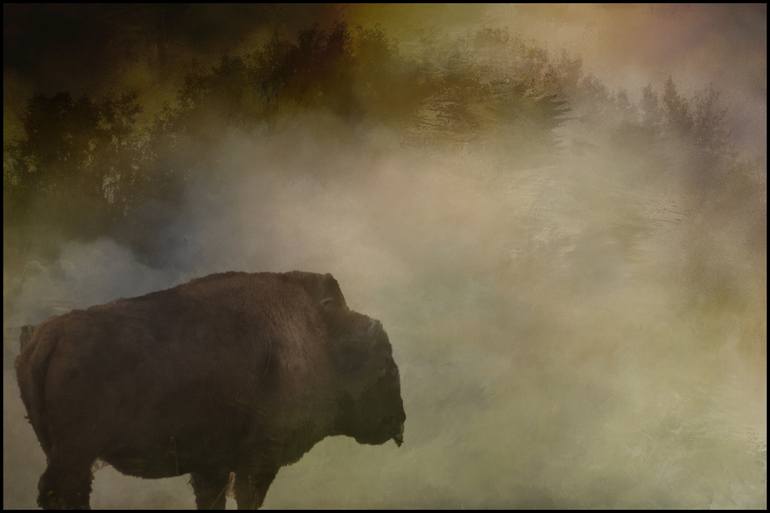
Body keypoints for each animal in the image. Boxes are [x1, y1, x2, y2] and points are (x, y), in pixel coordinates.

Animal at [15, 271, 406, 509]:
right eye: (386, 362)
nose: (399, 422)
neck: (322, 340)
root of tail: (48, 335)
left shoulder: (211, 466)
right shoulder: (259, 461)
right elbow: (247, 499)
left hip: (62, 451)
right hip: (76, 454)